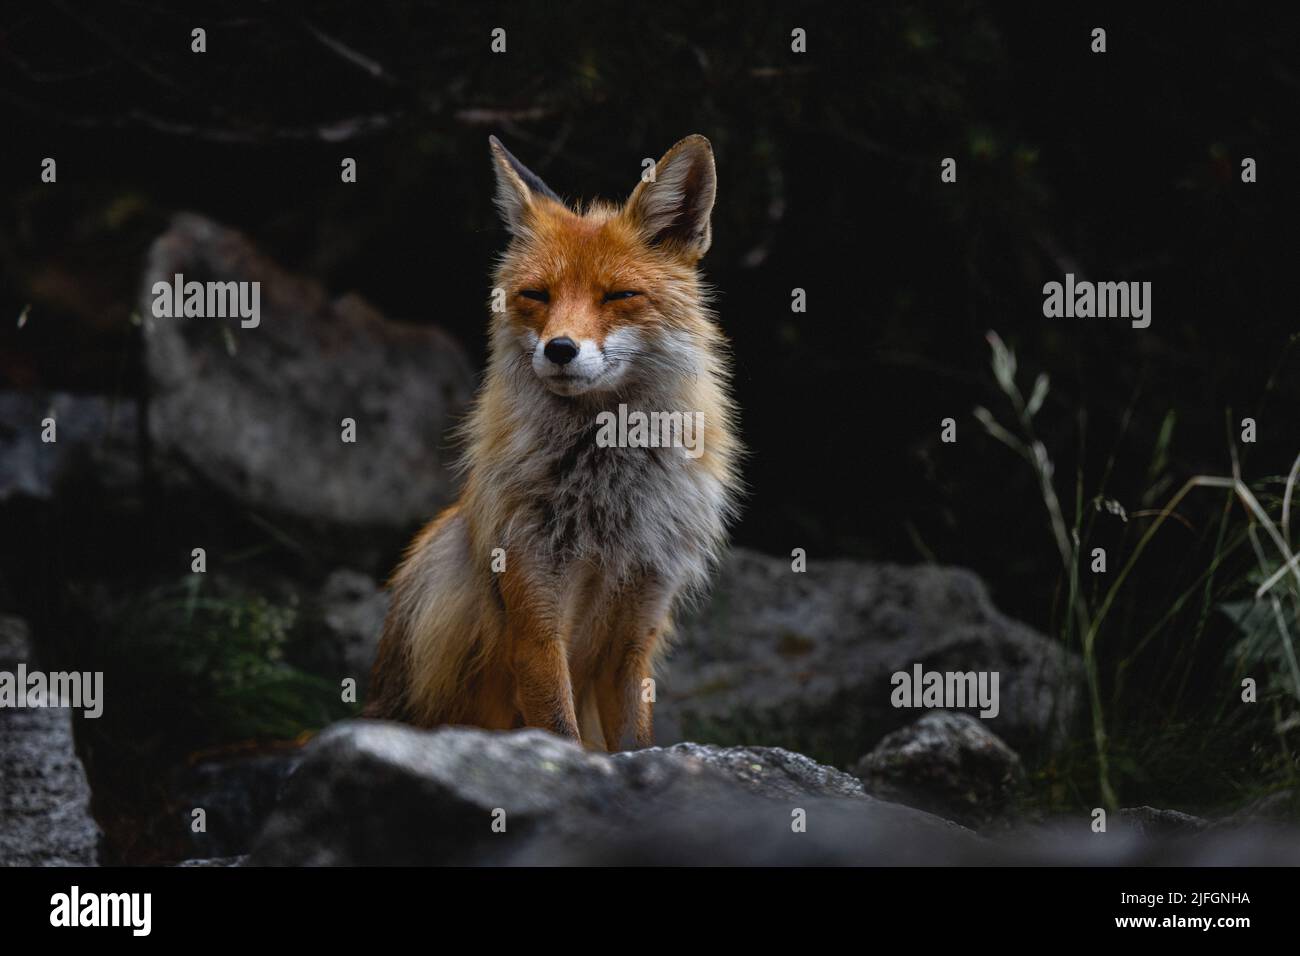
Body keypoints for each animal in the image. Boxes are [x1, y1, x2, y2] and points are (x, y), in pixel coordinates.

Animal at [363, 134, 740, 750]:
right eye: (537, 295)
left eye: (619, 295)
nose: (560, 349)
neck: (609, 504)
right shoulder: (535, 624)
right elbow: (562, 733)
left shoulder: (636, 632)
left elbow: (635, 744)